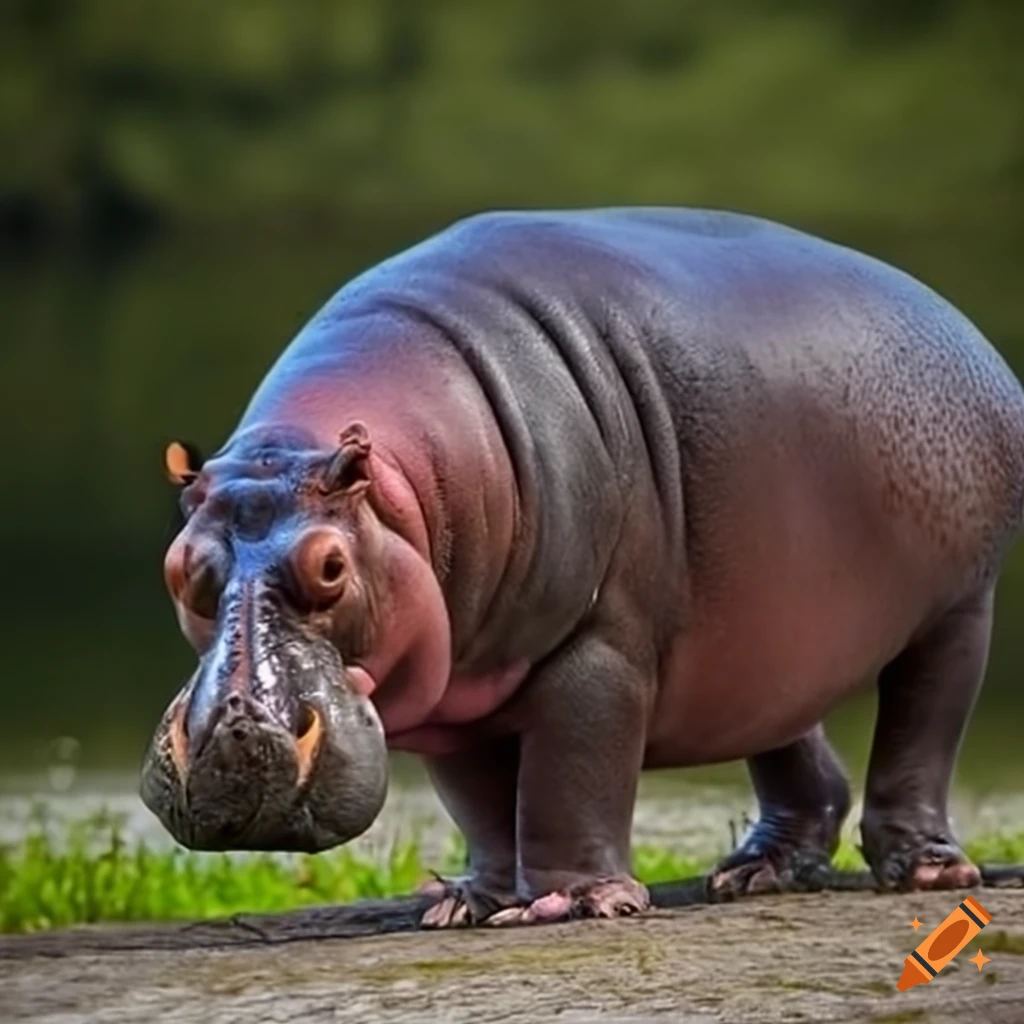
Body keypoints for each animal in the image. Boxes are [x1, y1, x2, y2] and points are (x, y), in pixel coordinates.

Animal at [141, 207, 1024, 927]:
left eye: (330, 566)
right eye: (178, 570)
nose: (231, 759)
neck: (397, 490)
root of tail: (963, 328)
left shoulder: (597, 646)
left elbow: (571, 777)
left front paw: (569, 903)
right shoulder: (454, 686)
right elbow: (481, 805)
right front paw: (469, 904)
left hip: (959, 607)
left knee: (923, 730)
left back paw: (928, 871)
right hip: (769, 650)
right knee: (795, 745)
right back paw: (750, 875)